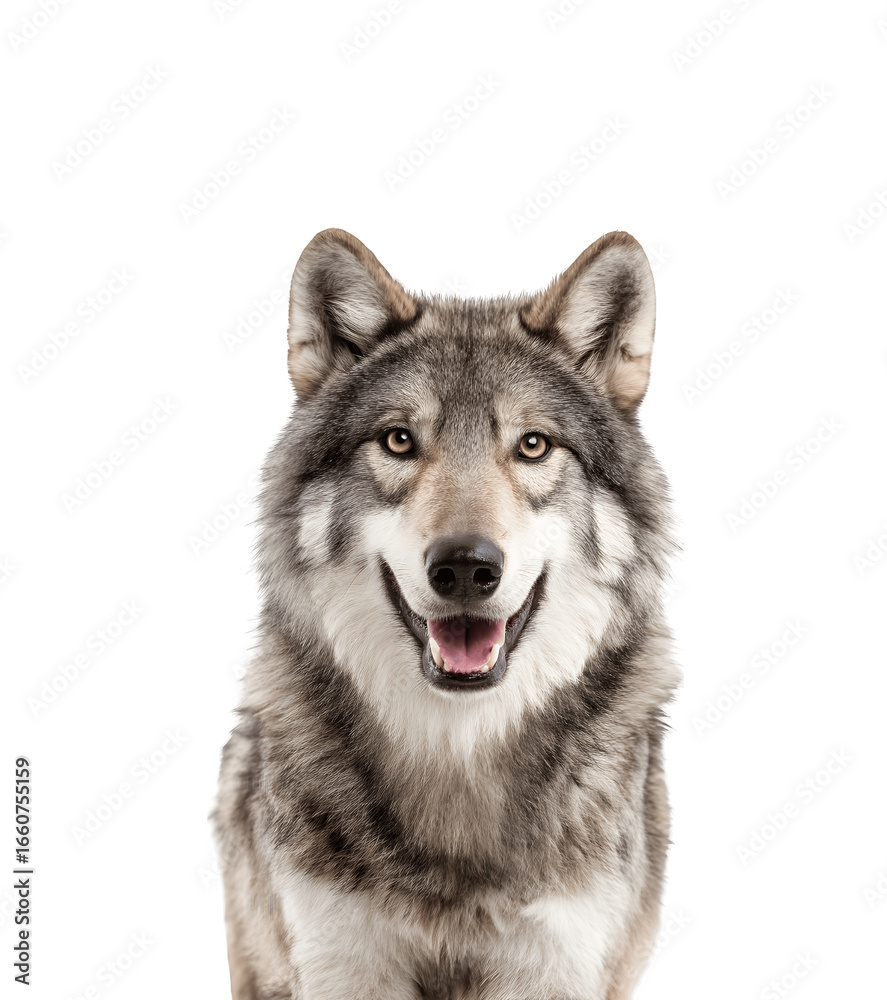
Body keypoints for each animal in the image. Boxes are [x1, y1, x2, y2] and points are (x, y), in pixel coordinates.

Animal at [215, 228, 680, 1000]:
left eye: (532, 444)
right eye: (399, 440)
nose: (465, 566)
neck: (457, 751)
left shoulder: (555, 965)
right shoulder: (340, 964)